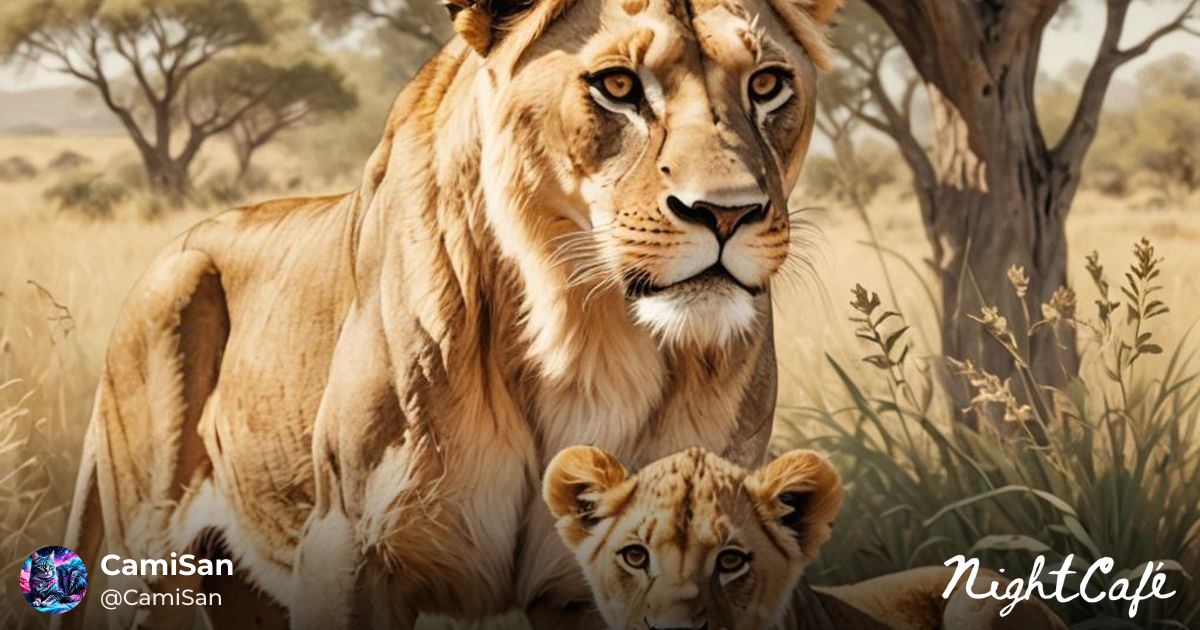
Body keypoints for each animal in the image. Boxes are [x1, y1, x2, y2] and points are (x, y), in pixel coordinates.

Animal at [54, 0, 842, 627]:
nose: (727, 213)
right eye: (618, 85)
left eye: (767, 83)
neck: (587, 340)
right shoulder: (346, 551)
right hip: (150, 560)